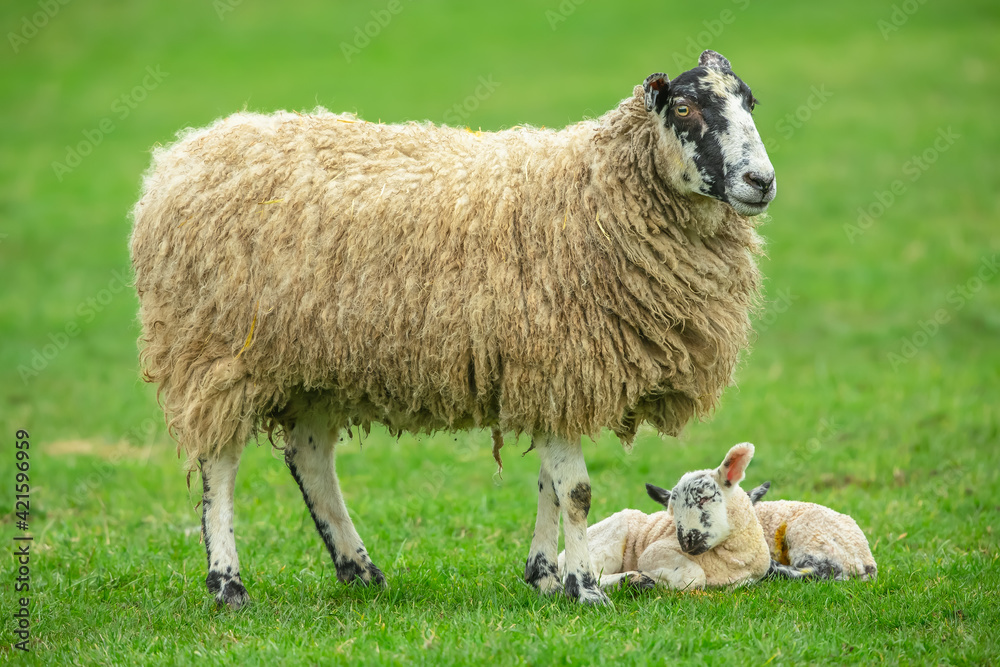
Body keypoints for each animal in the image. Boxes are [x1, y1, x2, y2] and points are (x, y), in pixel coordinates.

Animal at [559, 443, 771, 591]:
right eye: (672, 510)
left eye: (705, 498)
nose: (686, 542)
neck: (734, 559)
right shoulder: (654, 552)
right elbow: (694, 577)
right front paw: (654, 579)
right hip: (604, 543)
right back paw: (633, 580)